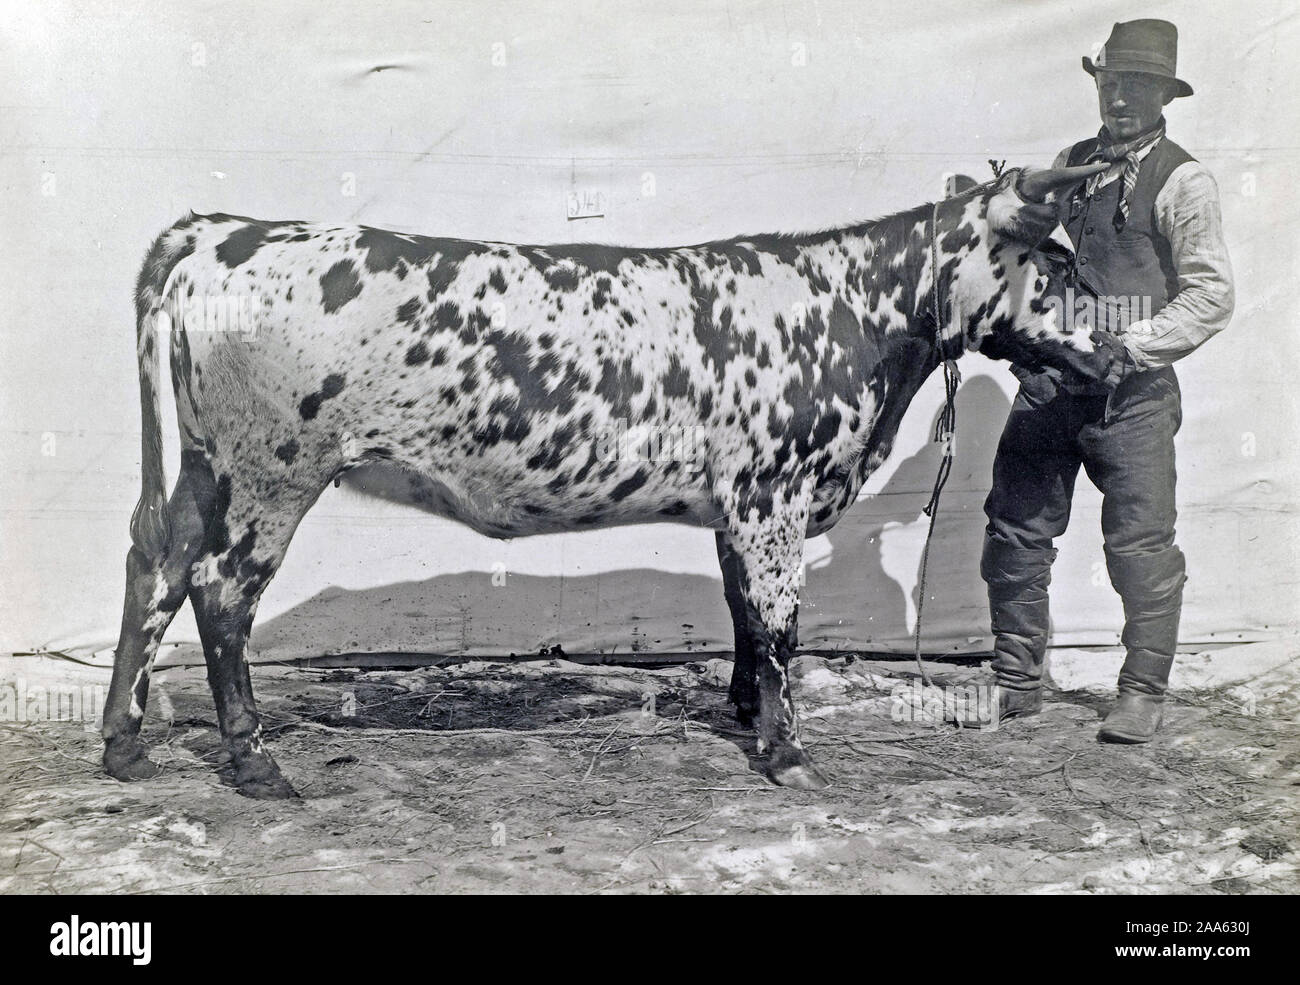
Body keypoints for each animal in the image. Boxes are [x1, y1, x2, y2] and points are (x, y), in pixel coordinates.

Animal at [103, 163, 1111, 797]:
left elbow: (743, 614)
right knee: (220, 592)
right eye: (1057, 265)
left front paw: (742, 715)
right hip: (270, 470)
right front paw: (787, 753)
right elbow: (781, 625)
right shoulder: (773, 495)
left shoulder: (737, 506)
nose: (1123, 346)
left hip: (204, 466)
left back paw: (123, 743)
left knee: (156, 565)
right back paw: (254, 763)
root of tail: (223, 231)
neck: (856, 316)